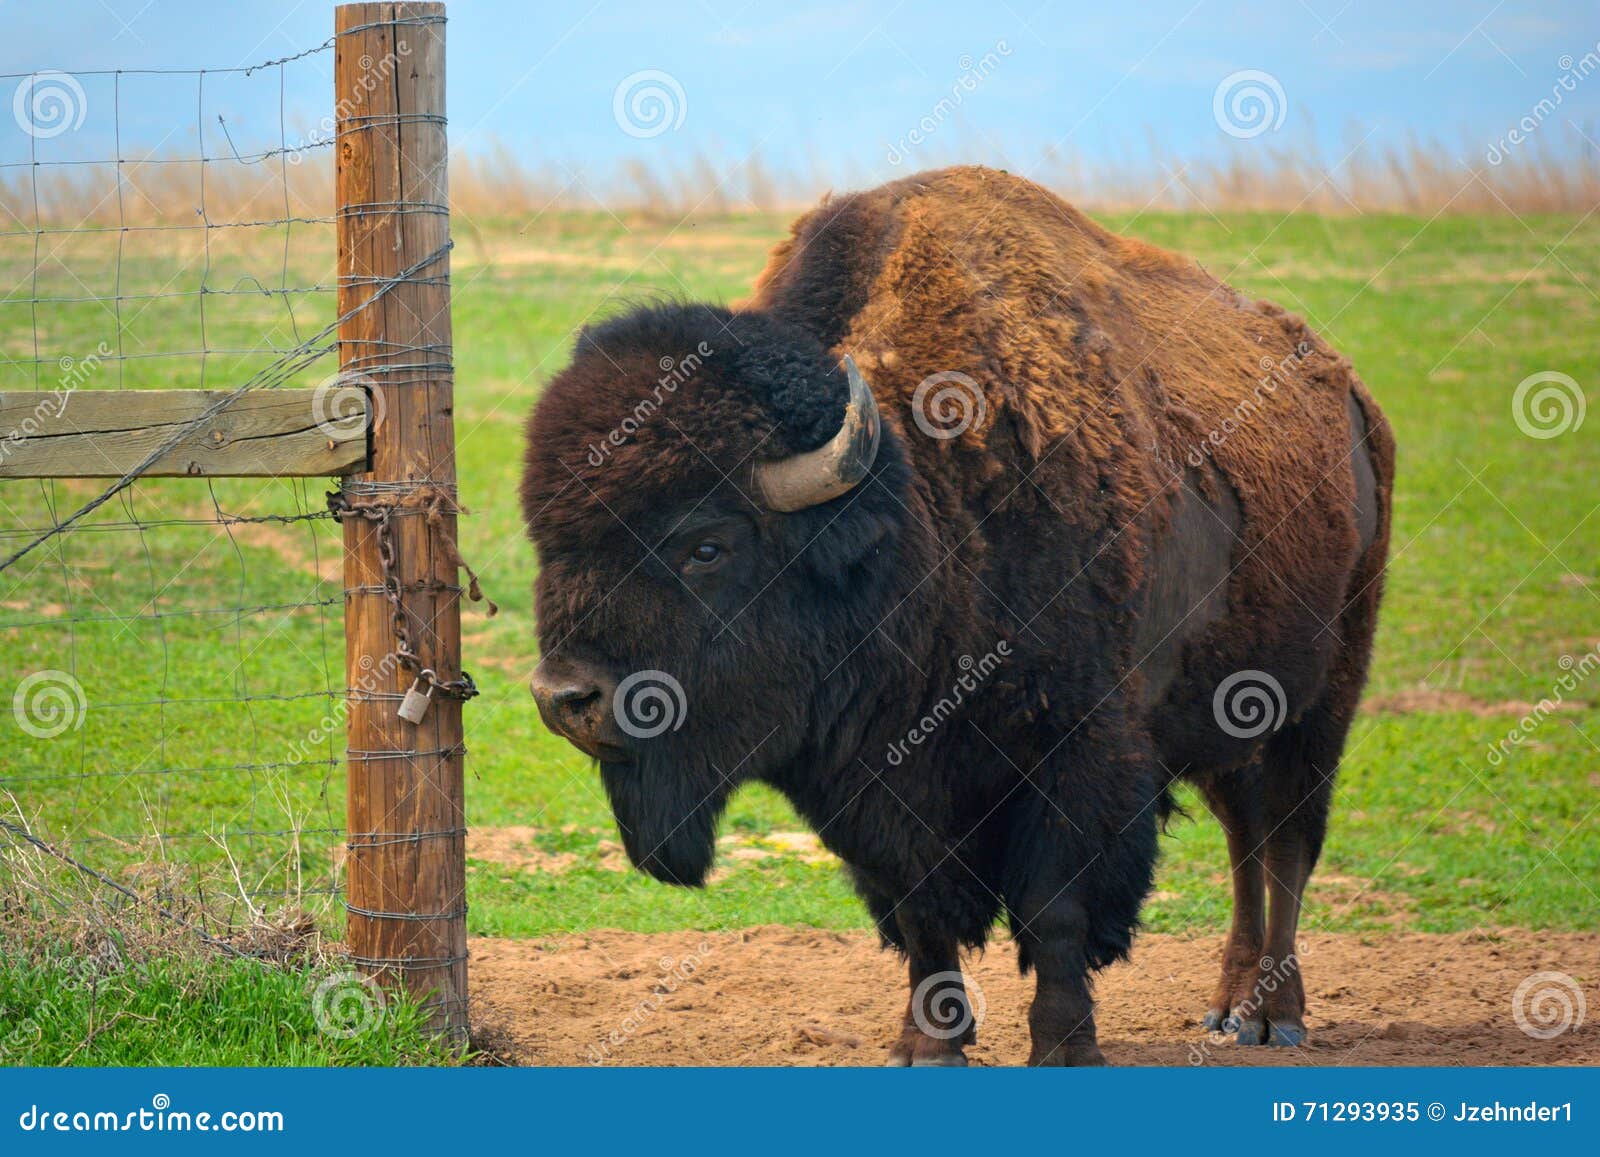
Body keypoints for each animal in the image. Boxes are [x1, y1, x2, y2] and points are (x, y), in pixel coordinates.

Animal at [522, 166, 1393, 1066]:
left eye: (705, 546)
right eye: (544, 539)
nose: (564, 697)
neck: (922, 508)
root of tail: (1352, 398)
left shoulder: (1078, 751)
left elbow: (1055, 909)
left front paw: (1064, 1047)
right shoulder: (878, 786)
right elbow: (918, 908)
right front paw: (926, 1043)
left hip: (1318, 700)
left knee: (1285, 839)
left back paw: (1274, 1013)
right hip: (1231, 715)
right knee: (1245, 838)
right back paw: (1228, 1006)